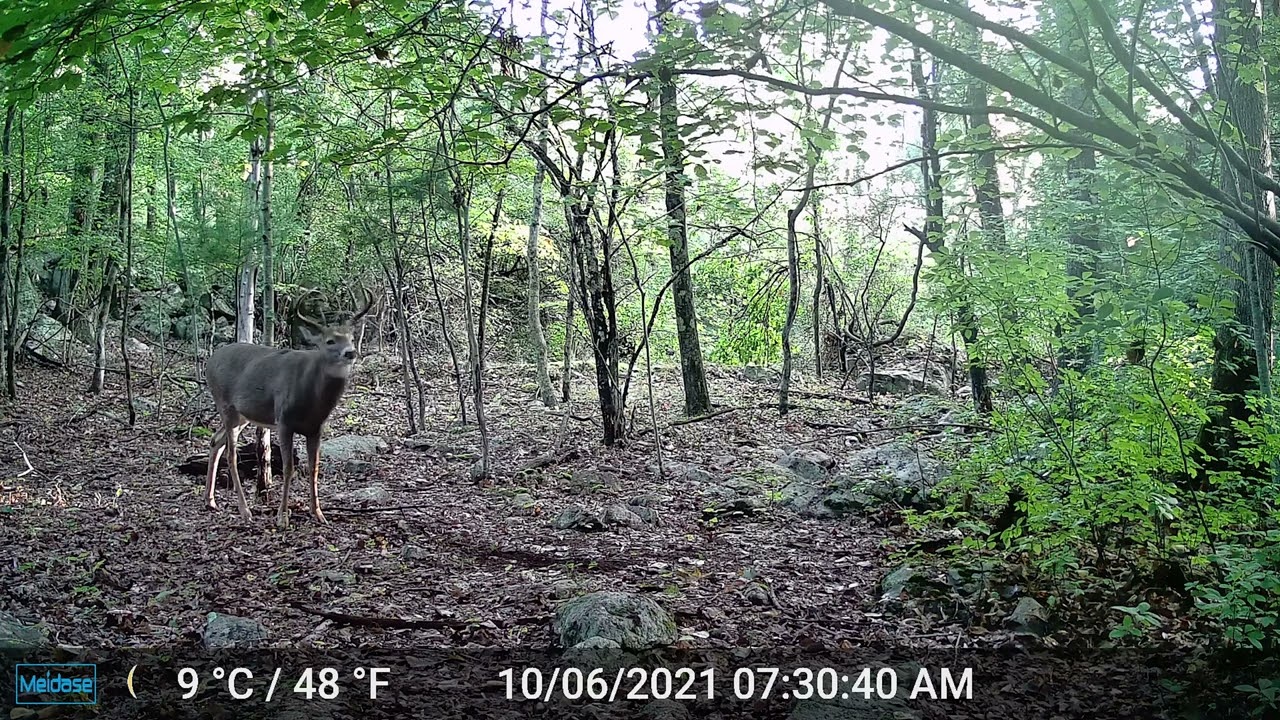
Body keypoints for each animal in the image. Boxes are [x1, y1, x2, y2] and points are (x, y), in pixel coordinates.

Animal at [203, 287, 376, 528]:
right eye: (330, 341)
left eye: (351, 337)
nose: (350, 352)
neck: (311, 395)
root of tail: (209, 361)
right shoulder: (284, 421)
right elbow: (288, 468)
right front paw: (282, 517)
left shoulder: (316, 428)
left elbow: (314, 468)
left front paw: (318, 513)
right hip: (225, 404)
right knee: (230, 453)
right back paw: (245, 511)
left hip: (243, 415)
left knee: (215, 441)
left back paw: (210, 500)